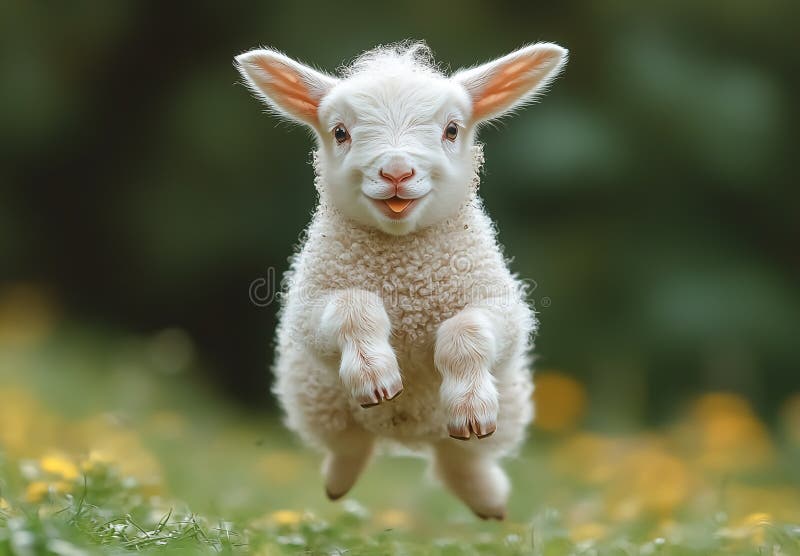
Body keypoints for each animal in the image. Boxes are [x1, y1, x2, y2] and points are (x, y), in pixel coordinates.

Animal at [235, 41, 567, 520]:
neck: (404, 277)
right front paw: (376, 377)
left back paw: (488, 498)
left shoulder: (499, 306)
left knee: (460, 457)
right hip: (320, 401)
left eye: (452, 130)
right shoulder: (309, 306)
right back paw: (339, 482)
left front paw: (470, 407)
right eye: (340, 132)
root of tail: (409, 435)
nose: (396, 173)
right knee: (351, 445)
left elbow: (467, 331)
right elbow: (352, 308)